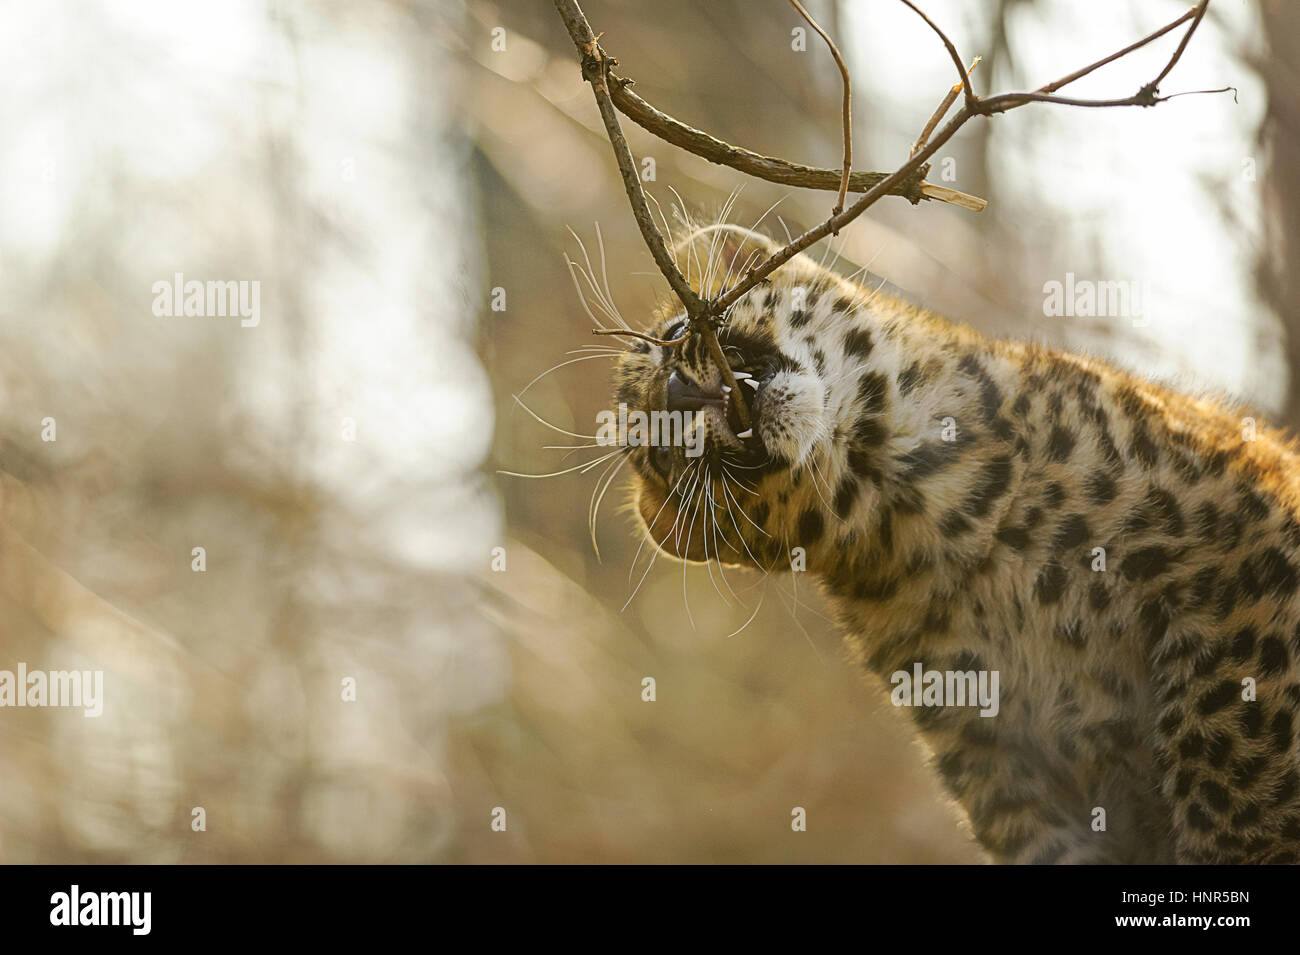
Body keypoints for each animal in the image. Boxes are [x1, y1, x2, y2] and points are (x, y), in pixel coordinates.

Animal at [607, 224, 1300, 864]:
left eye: (677, 328)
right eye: (660, 453)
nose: (675, 395)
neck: (931, 505)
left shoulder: (1241, 571)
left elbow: (1231, 730)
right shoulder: (999, 765)